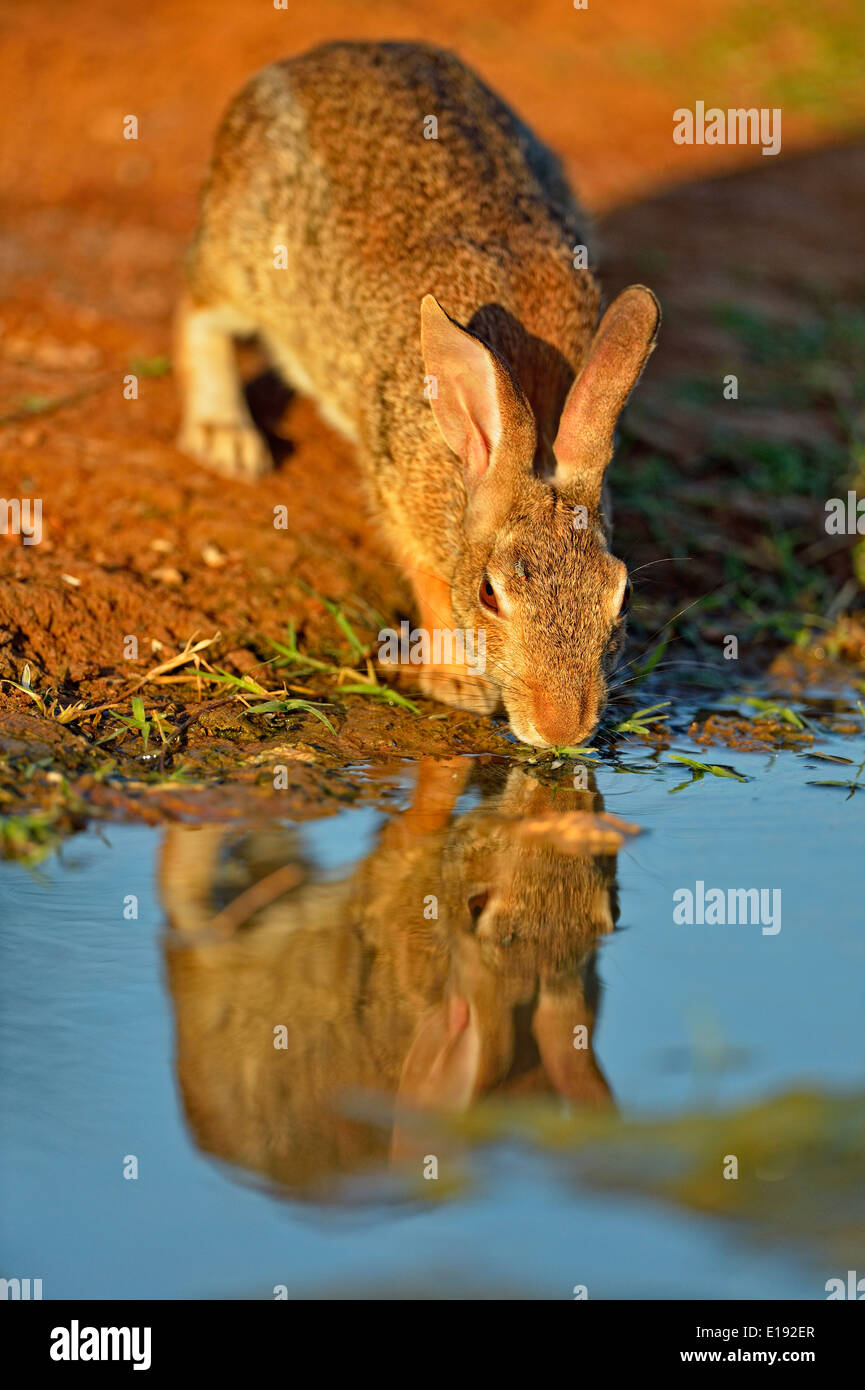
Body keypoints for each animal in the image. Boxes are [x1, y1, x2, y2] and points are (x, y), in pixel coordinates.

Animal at [175, 41, 660, 747]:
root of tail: (308, 60)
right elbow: (428, 581)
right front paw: (456, 684)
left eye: (621, 594)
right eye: (489, 594)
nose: (562, 730)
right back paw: (226, 439)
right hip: (247, 260)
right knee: (199, 310)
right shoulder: (400, 486)